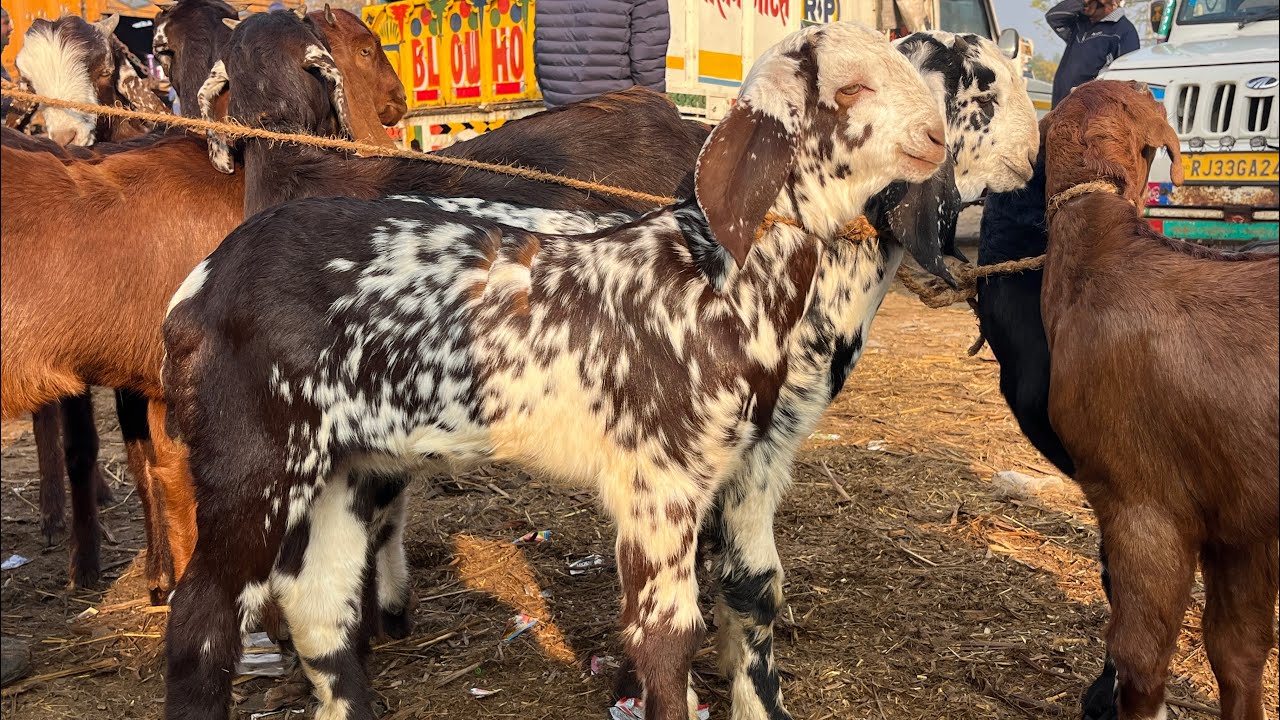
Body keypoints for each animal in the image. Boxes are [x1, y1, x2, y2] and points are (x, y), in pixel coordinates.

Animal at [159, 20, 949, 720]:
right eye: (850, 88)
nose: (936, 137)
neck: (710, 273)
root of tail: (198, 290)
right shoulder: (659, 479)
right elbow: (666, 638)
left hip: (341, 465)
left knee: (319, 606)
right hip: (254, 460)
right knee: (201, 623)